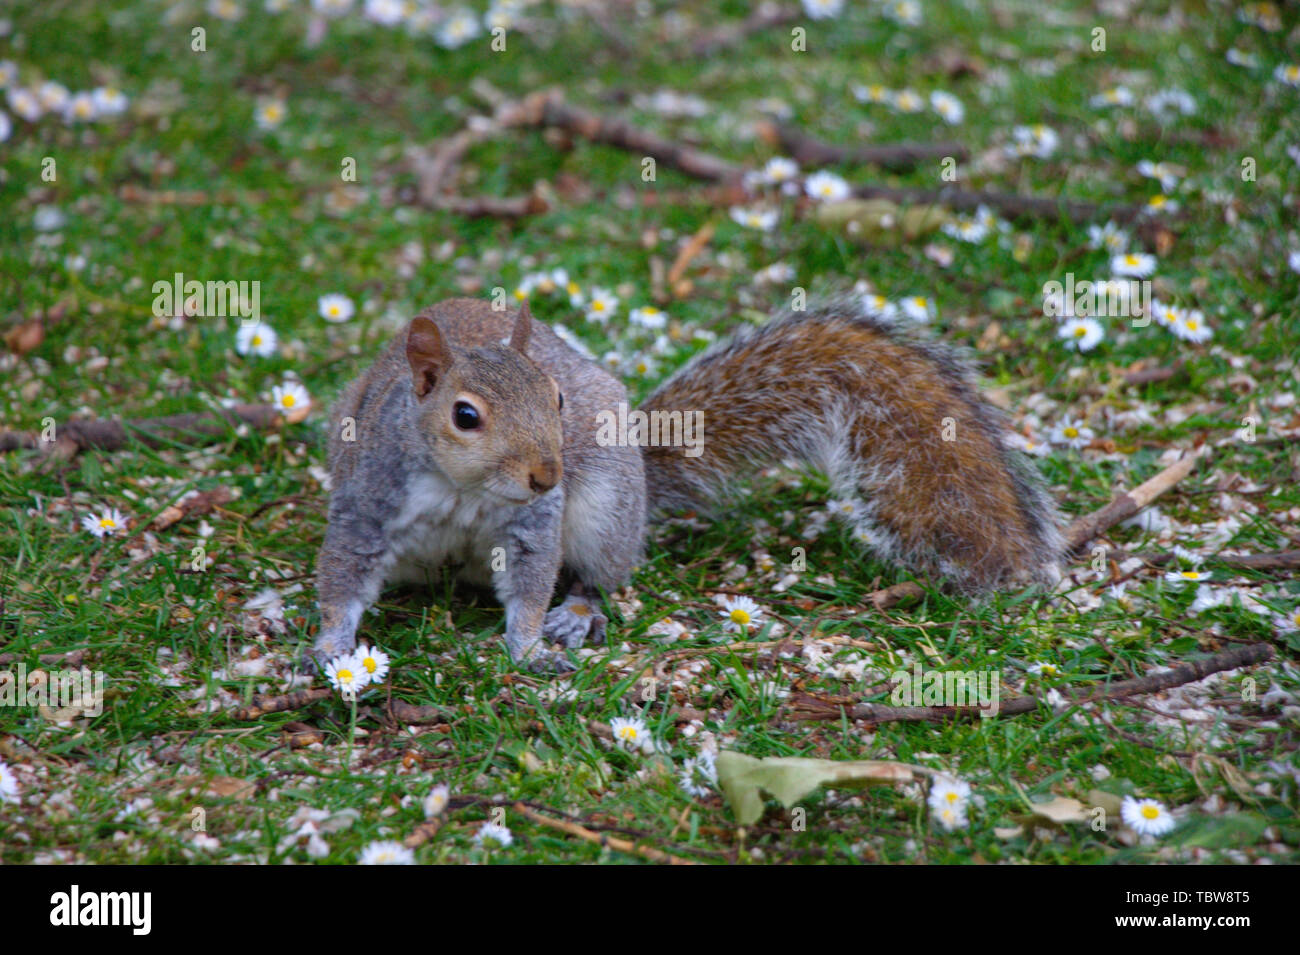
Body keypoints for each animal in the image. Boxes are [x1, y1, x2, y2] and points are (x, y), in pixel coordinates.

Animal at [313, 296, 1065, 672]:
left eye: (557, 398)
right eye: (465, 415)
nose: (548, 472)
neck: (465, 490)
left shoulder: (535, 524)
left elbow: (530, 584)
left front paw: (528, 647)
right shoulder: (368, 500)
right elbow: (345, 574)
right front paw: (329, 648)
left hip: (606, 507)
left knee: (598, 572)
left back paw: (577, 610)